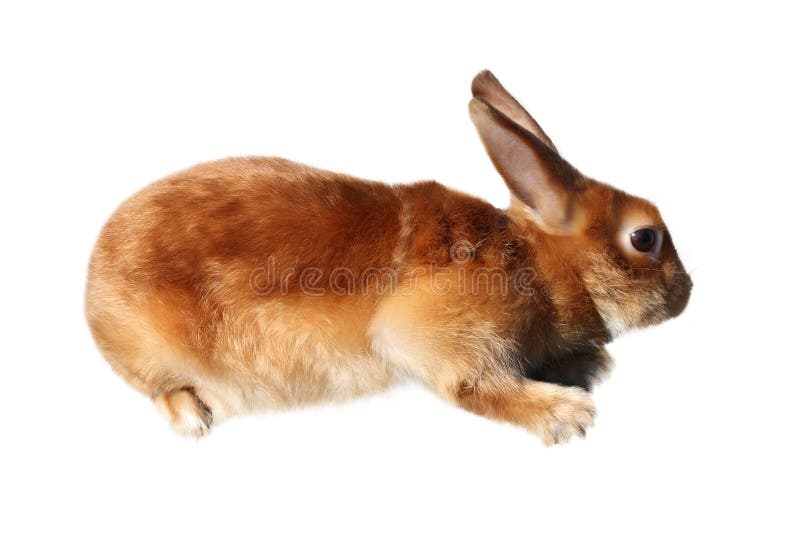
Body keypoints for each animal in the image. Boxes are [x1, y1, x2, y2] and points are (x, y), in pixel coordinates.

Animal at [85, 70, 692, 445]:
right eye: (644, 238)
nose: (687, 292)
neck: (538, 266)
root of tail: (92, 284)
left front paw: (589, 367)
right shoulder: (428, 334)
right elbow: (473, 387)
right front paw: (567, 414)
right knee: (162, 390)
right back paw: (195, 418)